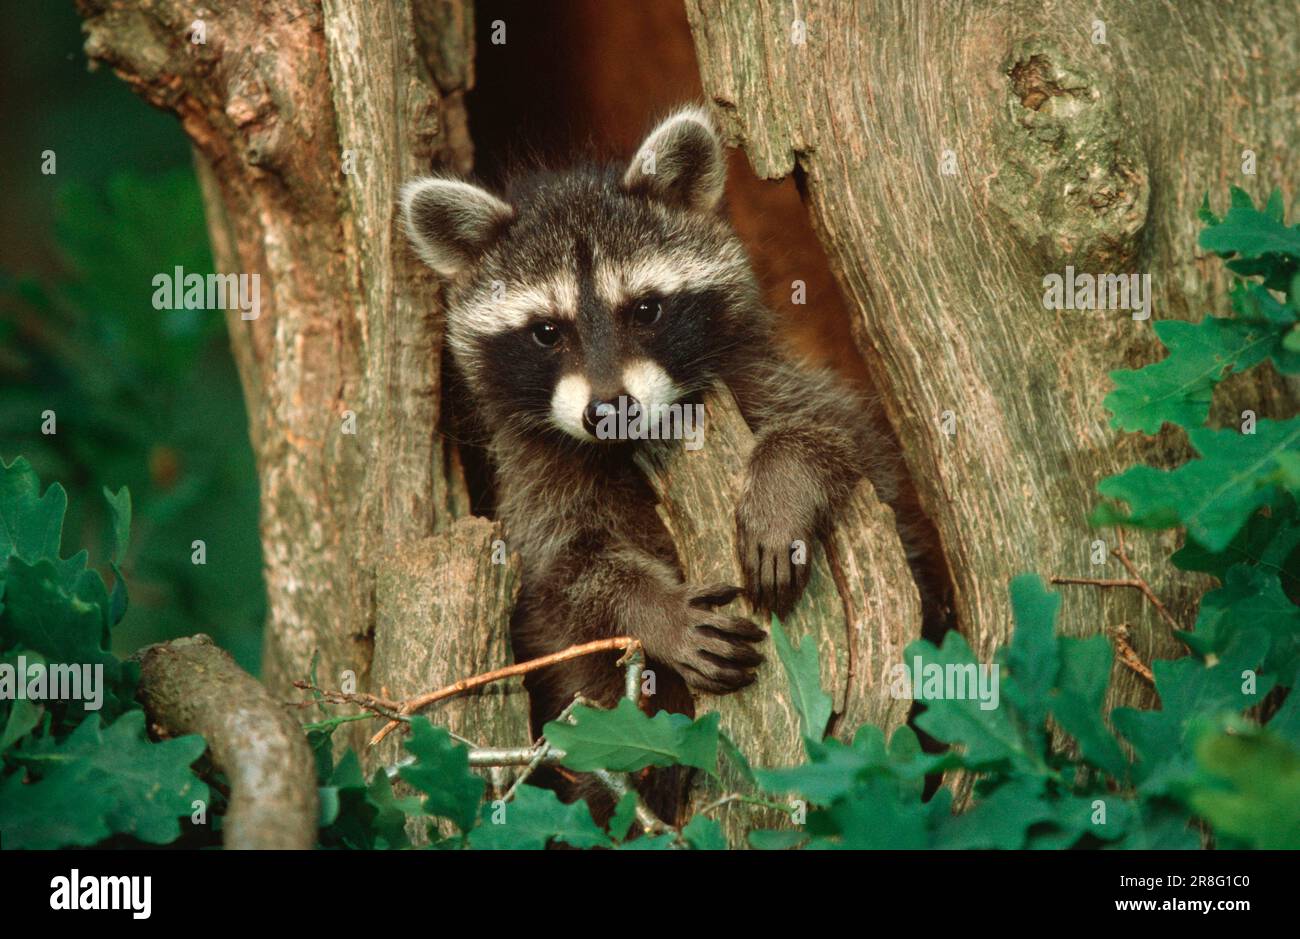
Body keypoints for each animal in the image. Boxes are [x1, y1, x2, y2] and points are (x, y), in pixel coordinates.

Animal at [401, 107, 908, 825]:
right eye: (547, 332)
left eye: (645, 309)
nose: (609, 409)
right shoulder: (535, 476)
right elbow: (565, 573)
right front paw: (653, 610)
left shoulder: (762, 379)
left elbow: (855, 445)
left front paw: (784, 481)